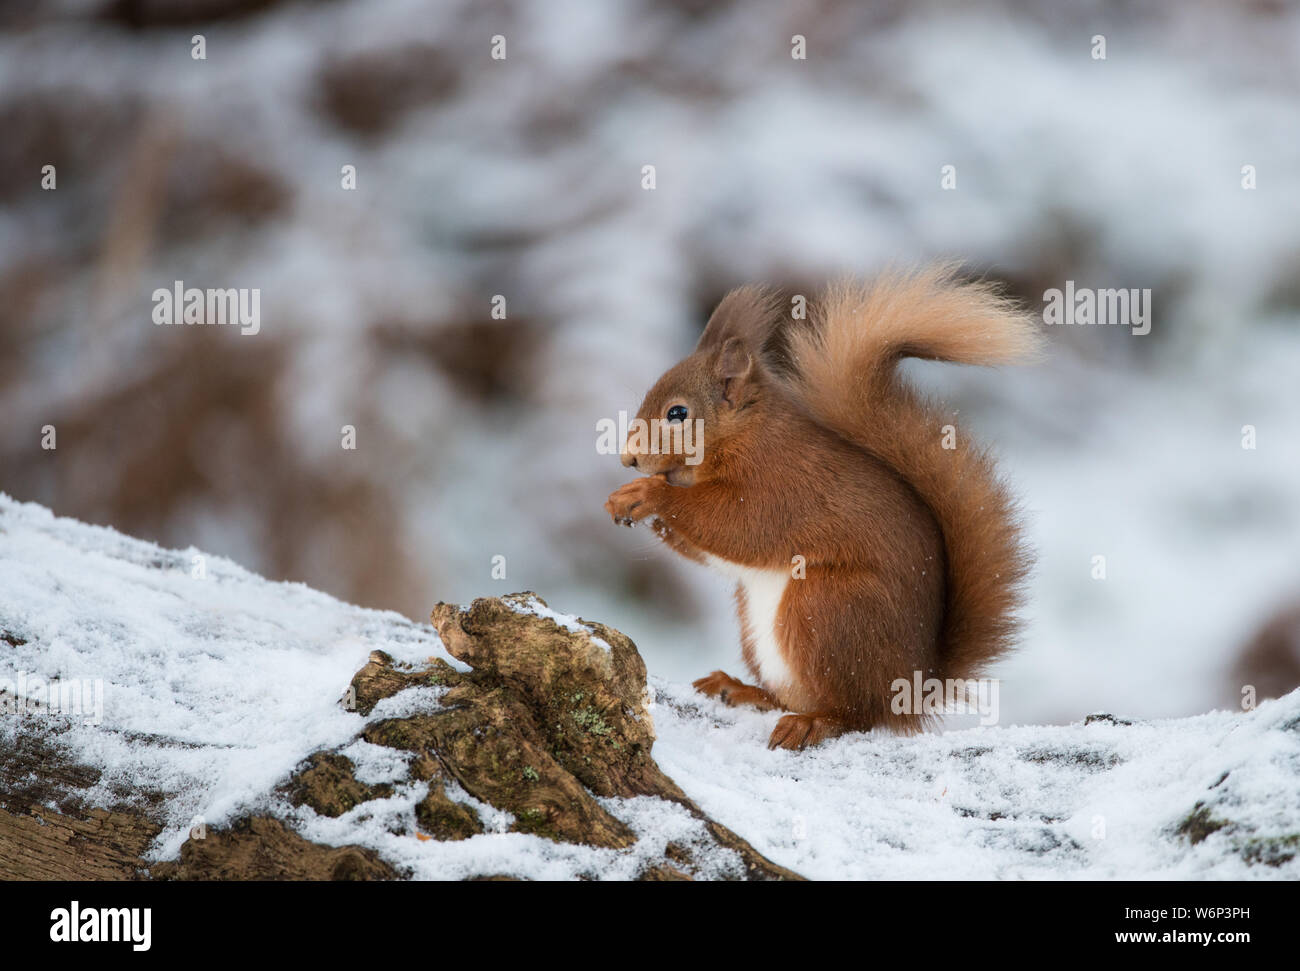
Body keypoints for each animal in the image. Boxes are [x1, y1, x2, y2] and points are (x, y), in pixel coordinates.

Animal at [604, 264, 1041, 750]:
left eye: (678, 414)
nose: (628, 458)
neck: (747, 432)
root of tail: (911, 689)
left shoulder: (777, 486)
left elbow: (736, 526)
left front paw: (648, 494)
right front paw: (623, 499)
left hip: (826, 607)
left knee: (855, 713)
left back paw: (812, 722)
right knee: (789, 696)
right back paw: (738, 688)